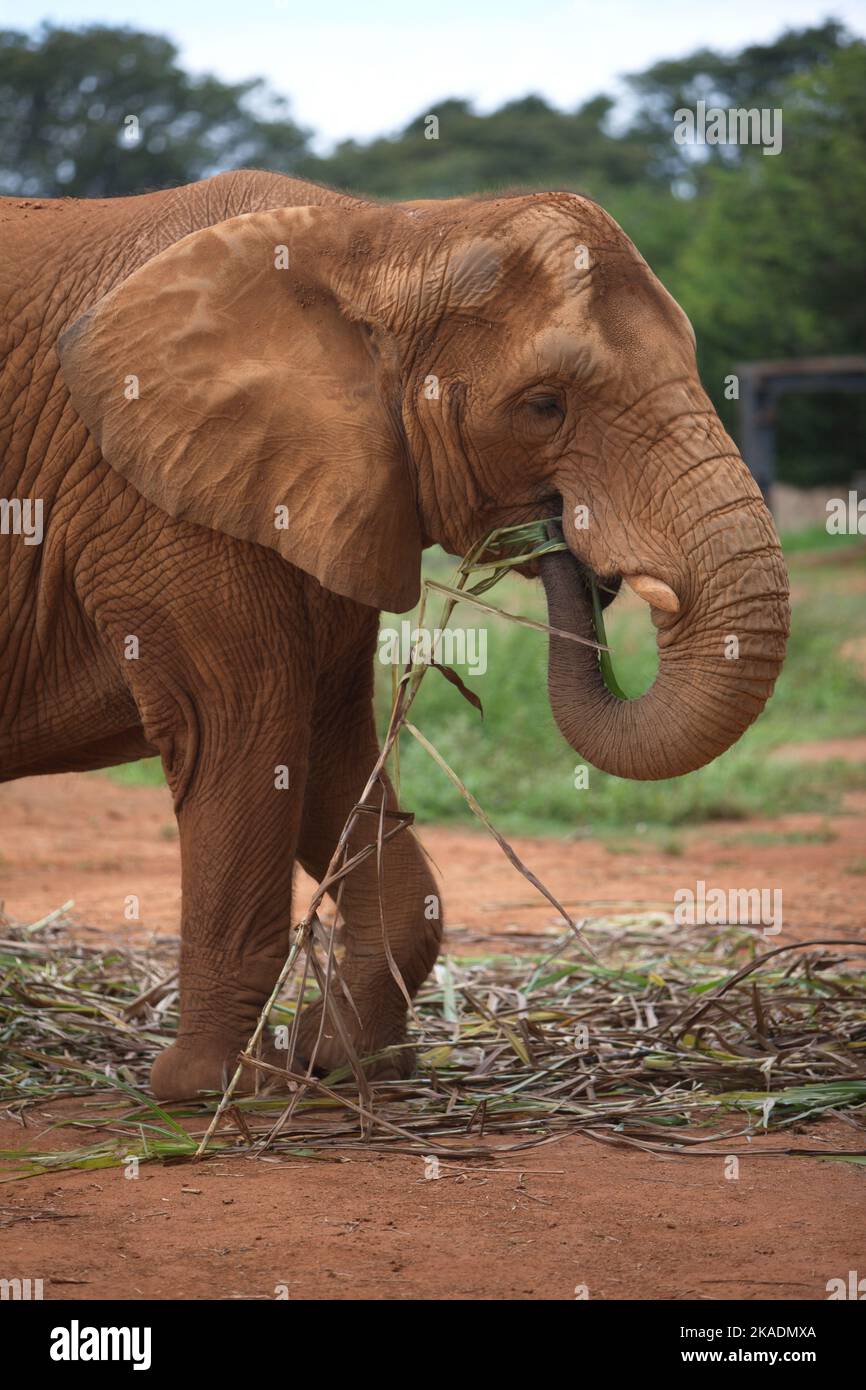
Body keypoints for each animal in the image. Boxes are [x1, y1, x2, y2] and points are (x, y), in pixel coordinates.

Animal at [0, 171, 790, 1099]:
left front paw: (340, 1058)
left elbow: (326, 753)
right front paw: (217, 1090)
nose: (562, 544)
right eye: (544, 406)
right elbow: (241, 731)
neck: (386, 235)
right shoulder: (151, 496)